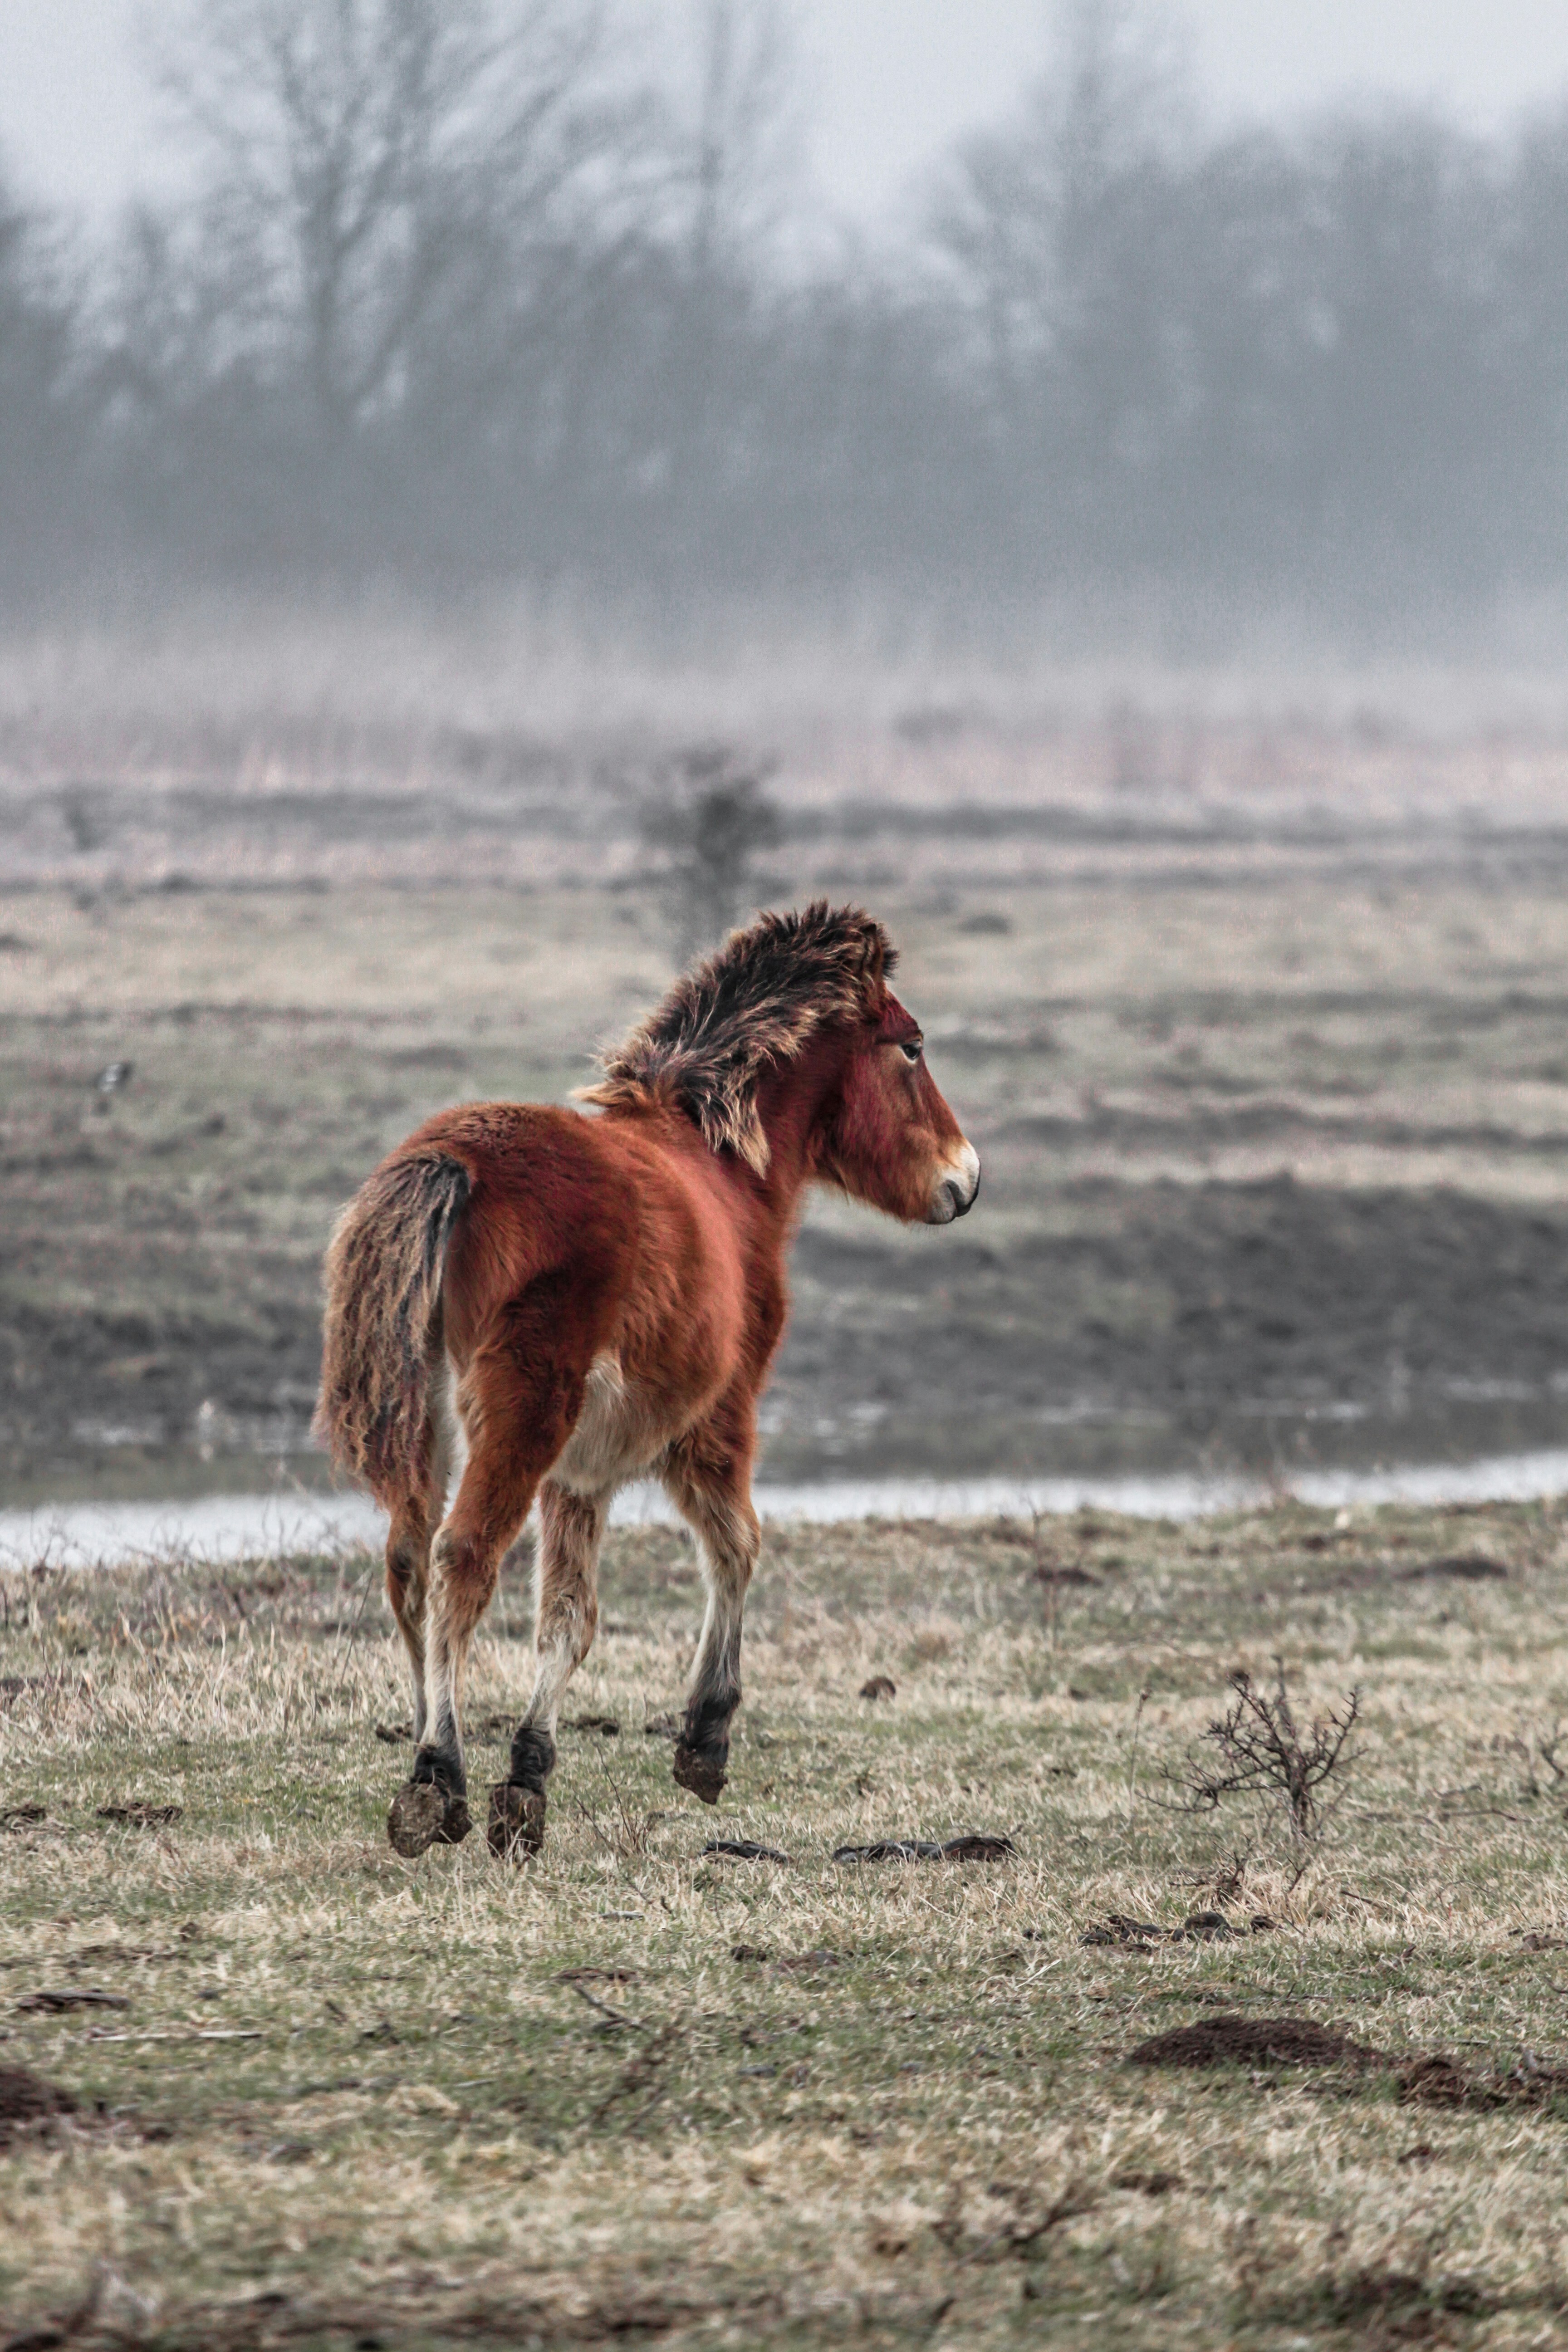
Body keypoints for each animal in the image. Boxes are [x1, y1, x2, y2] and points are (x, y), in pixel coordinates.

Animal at [315, 902, 980, 1862]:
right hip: (522, 1417)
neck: (724, 1169)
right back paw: (437, 1776)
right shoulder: (715, 1422)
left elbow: (568, 1616)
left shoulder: (581, 1473)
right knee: (461, 1558)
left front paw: (527, 1777)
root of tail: (452, 1160)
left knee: (408, 1567)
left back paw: (435, 1757)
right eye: (913, 1045)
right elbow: (736, 1547)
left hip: (431, 1426)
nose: (965, 1179)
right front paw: (704, 1737)